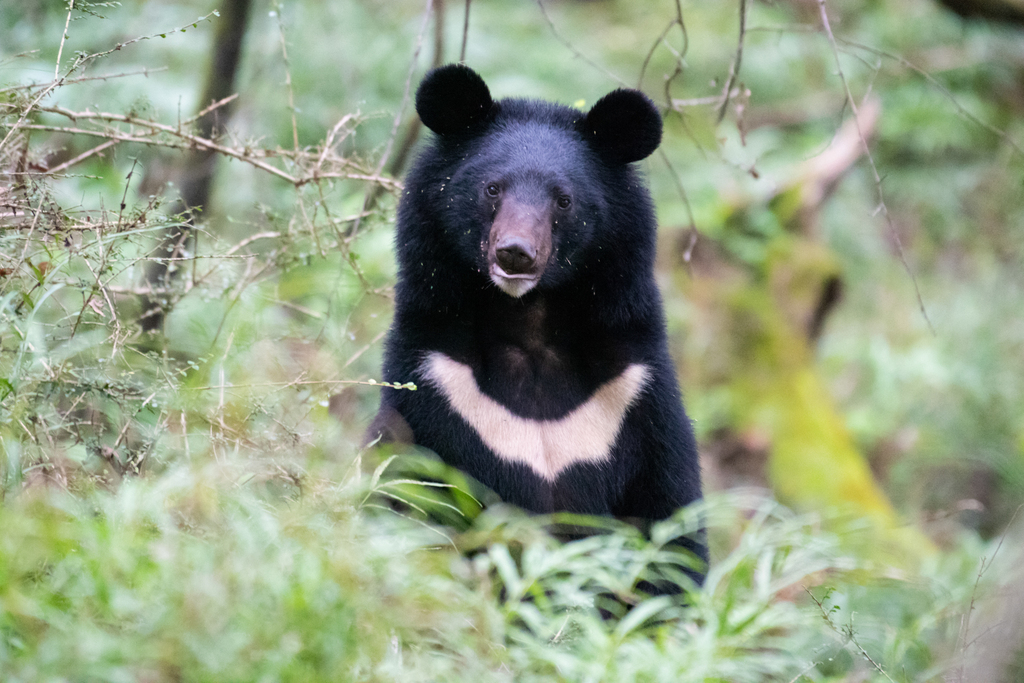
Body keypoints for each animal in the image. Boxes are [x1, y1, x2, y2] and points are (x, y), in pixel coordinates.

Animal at [368, 64, 706, 582]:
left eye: (564, 200)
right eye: (492, 188)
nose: (515, 253)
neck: (527, 318)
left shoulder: (639, 398)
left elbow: (671, 531)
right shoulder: (434, 385)